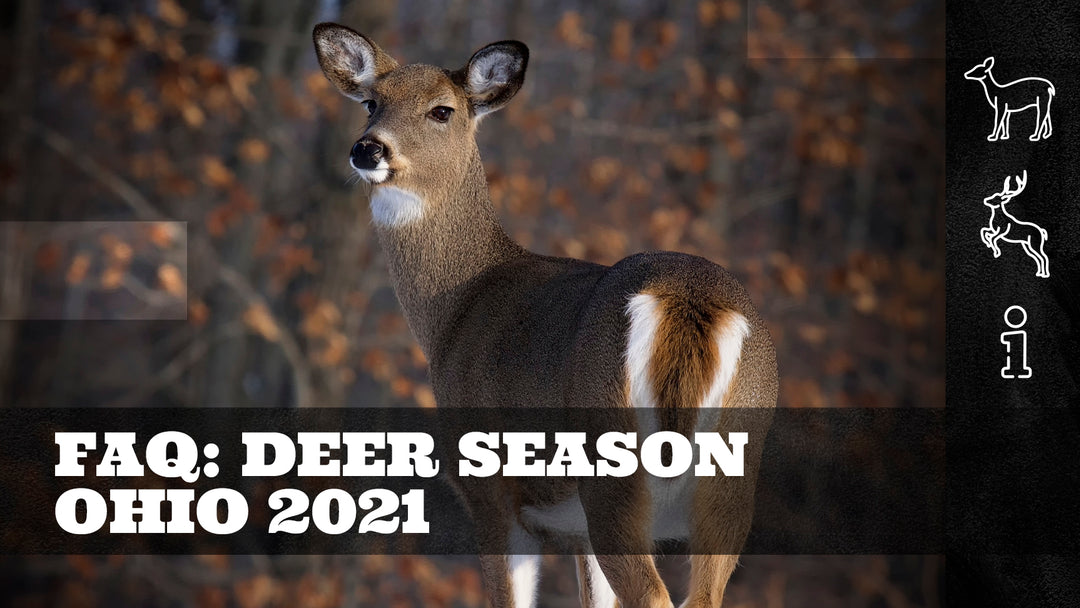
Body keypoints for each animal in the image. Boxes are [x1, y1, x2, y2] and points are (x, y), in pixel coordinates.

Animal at [313, 23, 778, 608]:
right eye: (371, 103)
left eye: (442, 110)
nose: (368, 147)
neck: (456, 308)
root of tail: (687, 302)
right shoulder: (574, 527)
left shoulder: (492, 493)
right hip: (732, 477)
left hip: (613, 465)